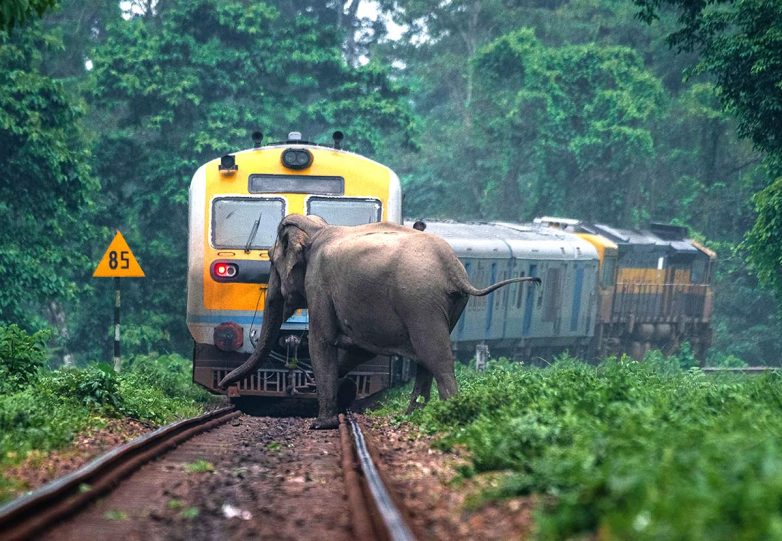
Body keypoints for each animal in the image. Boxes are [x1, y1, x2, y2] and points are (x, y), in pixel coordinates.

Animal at [219, 214, 541, 429]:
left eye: (272, 261)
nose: (223, 385)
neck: (318, 229)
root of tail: (454, 270)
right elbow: (357, 350)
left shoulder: (319, 283)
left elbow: (321, 342)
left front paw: (321, 423)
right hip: (451, 304)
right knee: (427, 359)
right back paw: (412, 415)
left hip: (419, 300)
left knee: (435, 357)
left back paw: (448, 415)